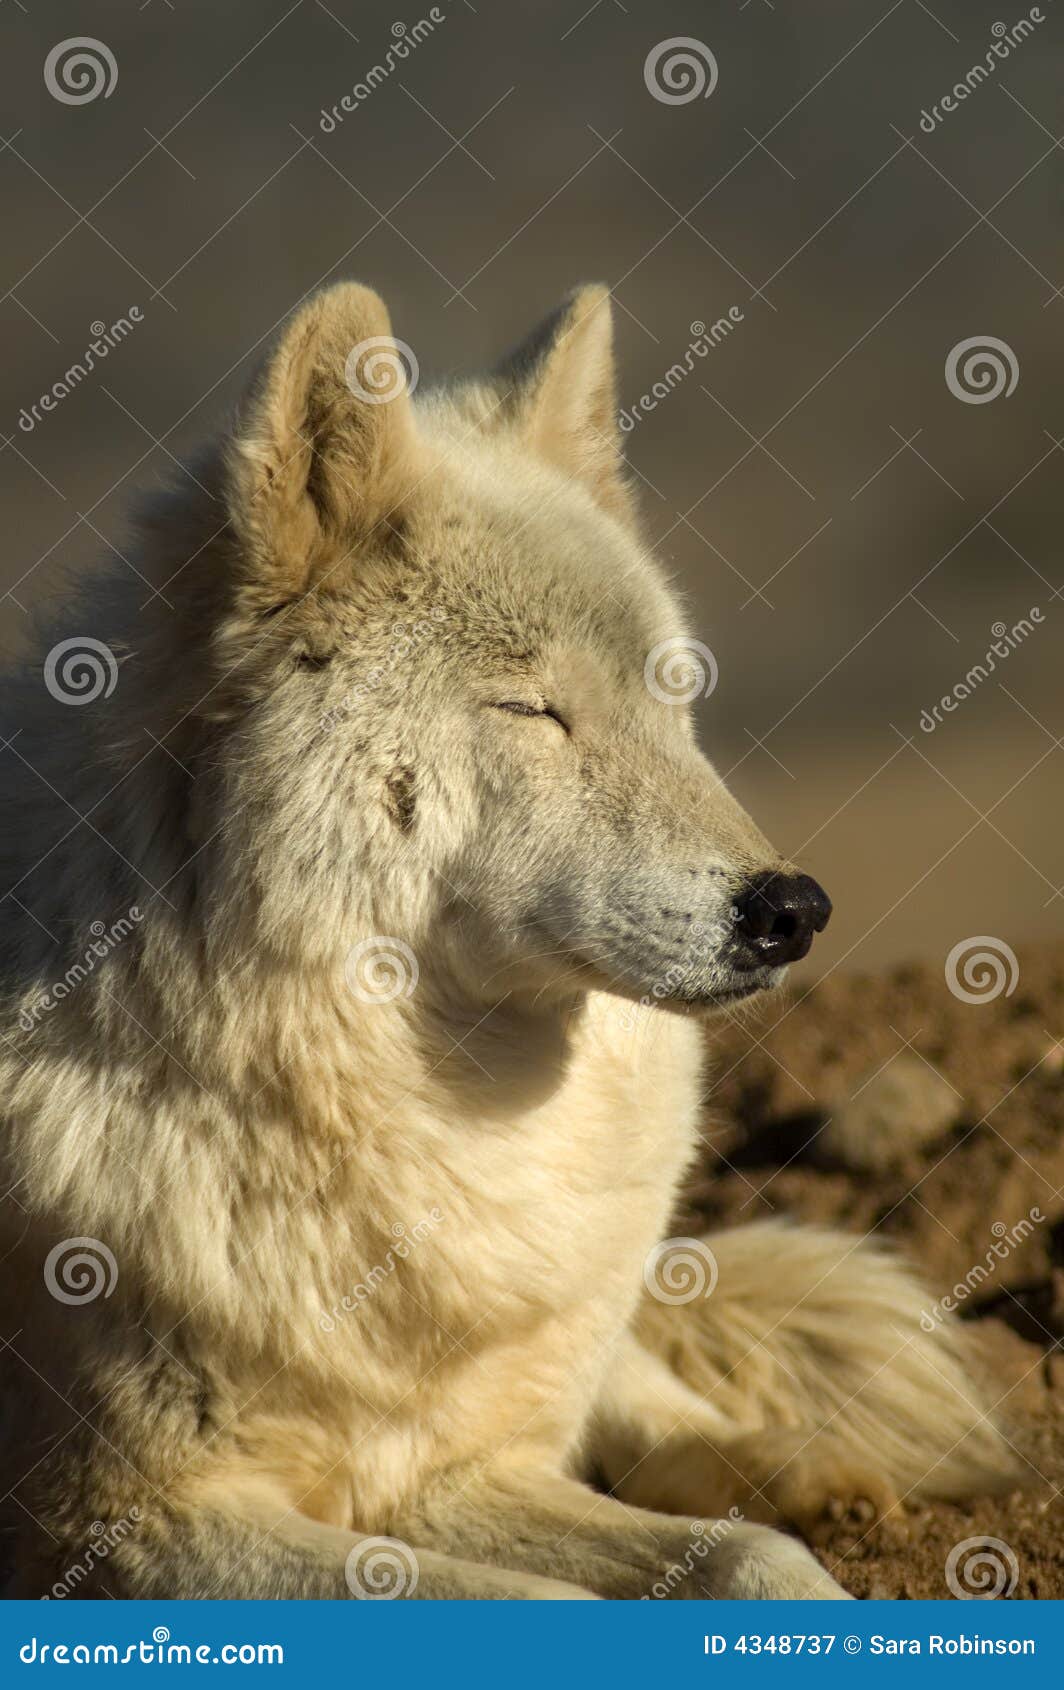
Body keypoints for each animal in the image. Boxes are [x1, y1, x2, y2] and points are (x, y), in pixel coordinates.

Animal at [0, 283, 1015, 1600]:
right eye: (532, 708)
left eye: (671, 698)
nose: (792, 909)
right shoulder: (129, 1523)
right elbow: (538, 1596)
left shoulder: (458, 1467)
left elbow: (753, 1559)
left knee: (647, 1395)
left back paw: (791, 1460)